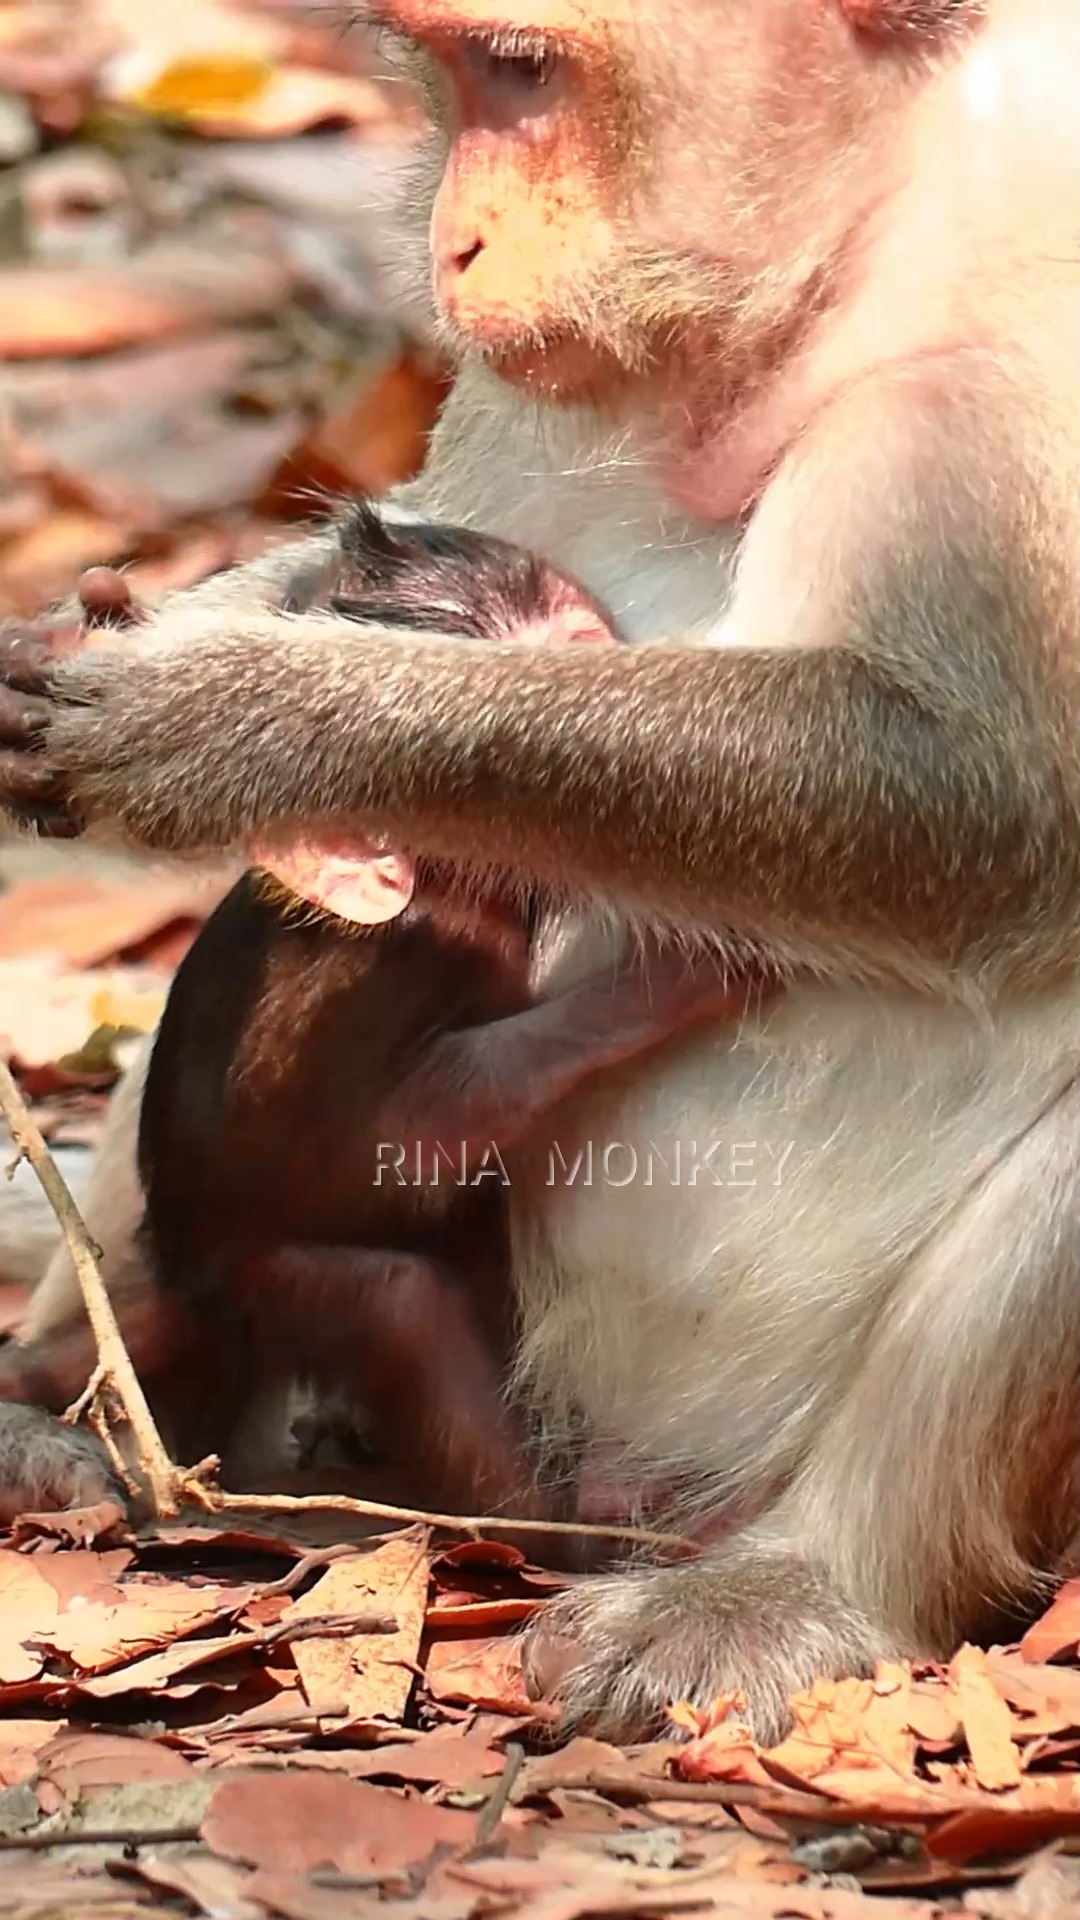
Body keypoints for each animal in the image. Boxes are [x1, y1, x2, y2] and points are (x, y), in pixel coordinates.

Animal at [1, 0, 1077, 1743]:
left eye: (526, 70)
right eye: (461, 73)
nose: (458, 241)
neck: (865, 268)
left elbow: (980, 811)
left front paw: (257, 713)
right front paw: (121, 637)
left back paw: (796, 1583)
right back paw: (71, 1411)